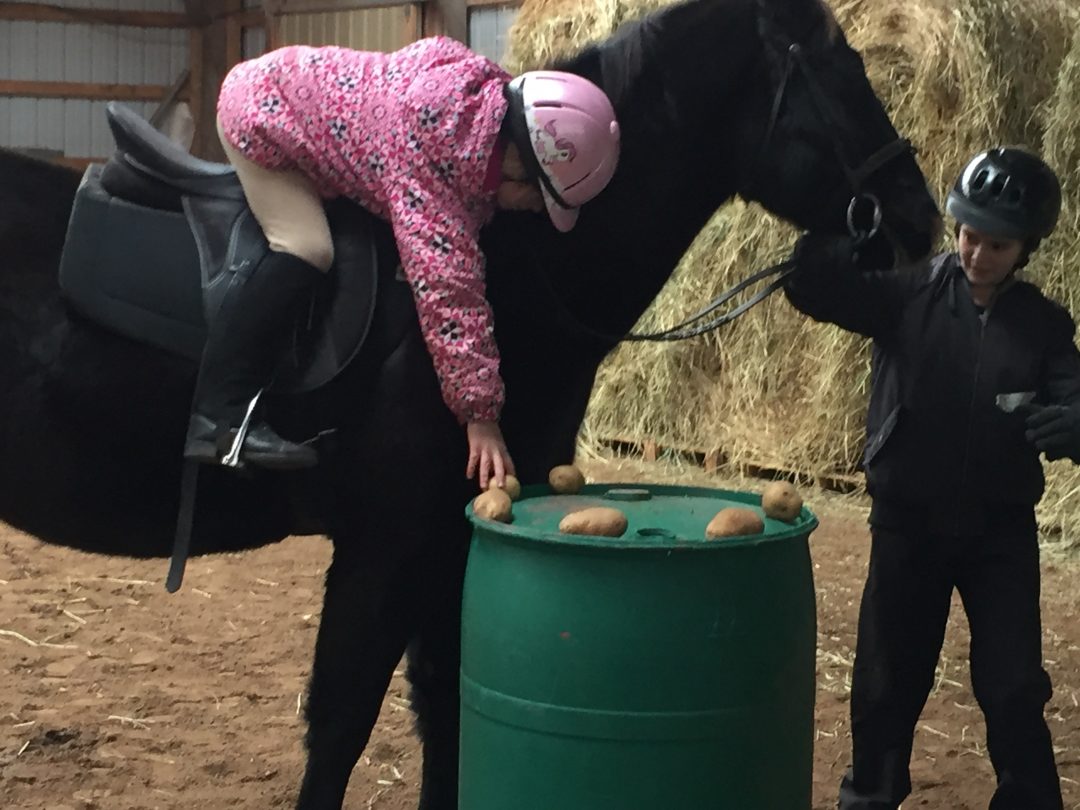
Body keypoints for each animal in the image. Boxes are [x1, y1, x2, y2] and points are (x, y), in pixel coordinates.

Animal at [0, 0, 942, 807]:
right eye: (842, 72)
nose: (919, 219)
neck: (511, 258)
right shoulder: (386, 542)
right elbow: (342, 726)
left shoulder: (468, 532)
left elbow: (445, 708)